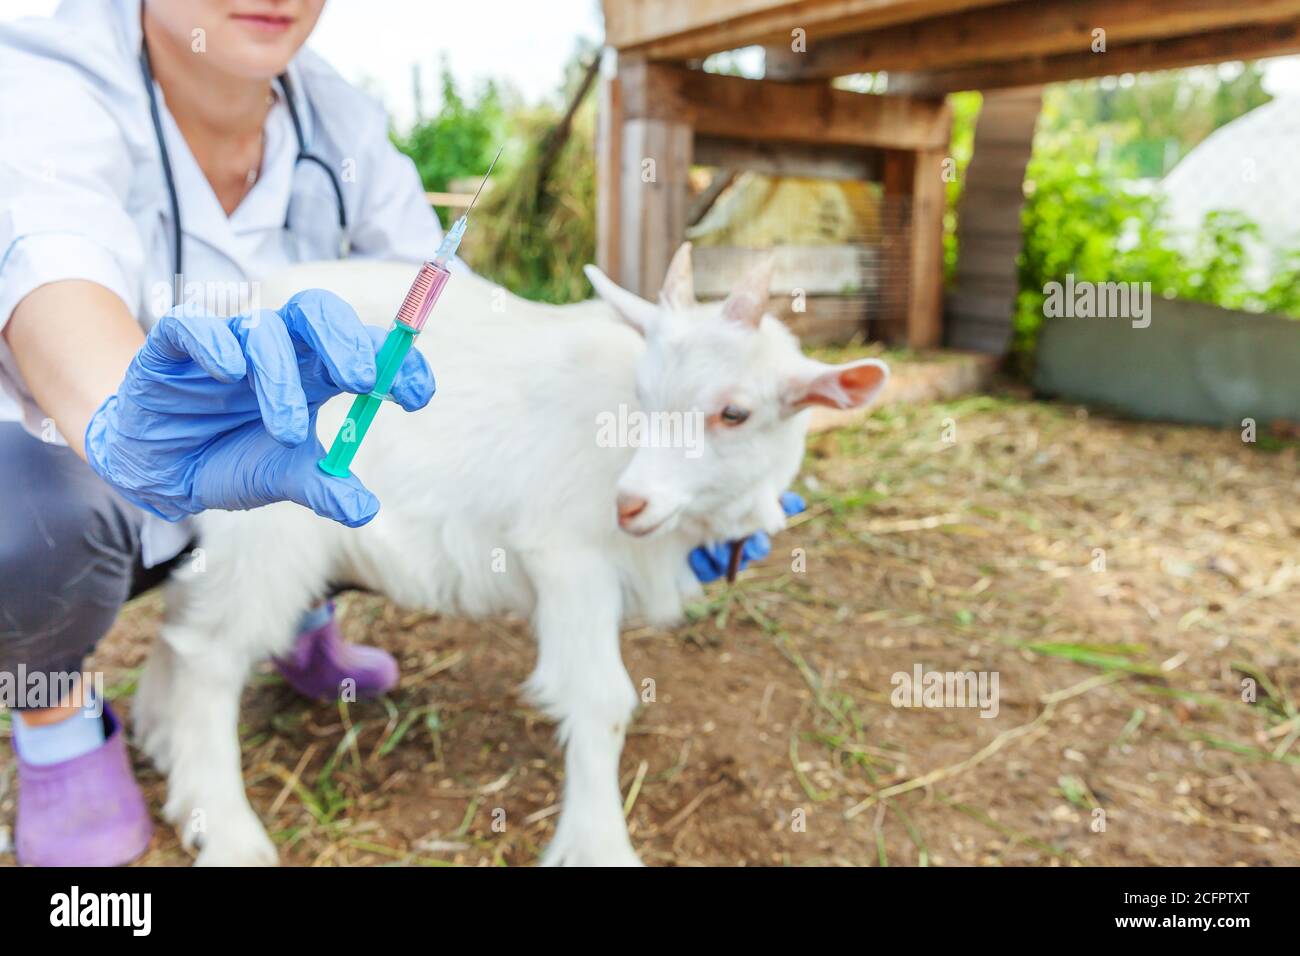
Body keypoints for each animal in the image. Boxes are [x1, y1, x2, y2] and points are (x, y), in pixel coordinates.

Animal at [131, 243, 888, 865]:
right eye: (643, 398)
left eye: (735, 413)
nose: (630, 503)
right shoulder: (569, 557)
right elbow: (603, 700)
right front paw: (598, 846)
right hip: (267, 532)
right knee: (210, 656)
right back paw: (226, 828)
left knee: (179, 624)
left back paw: (165, 746)